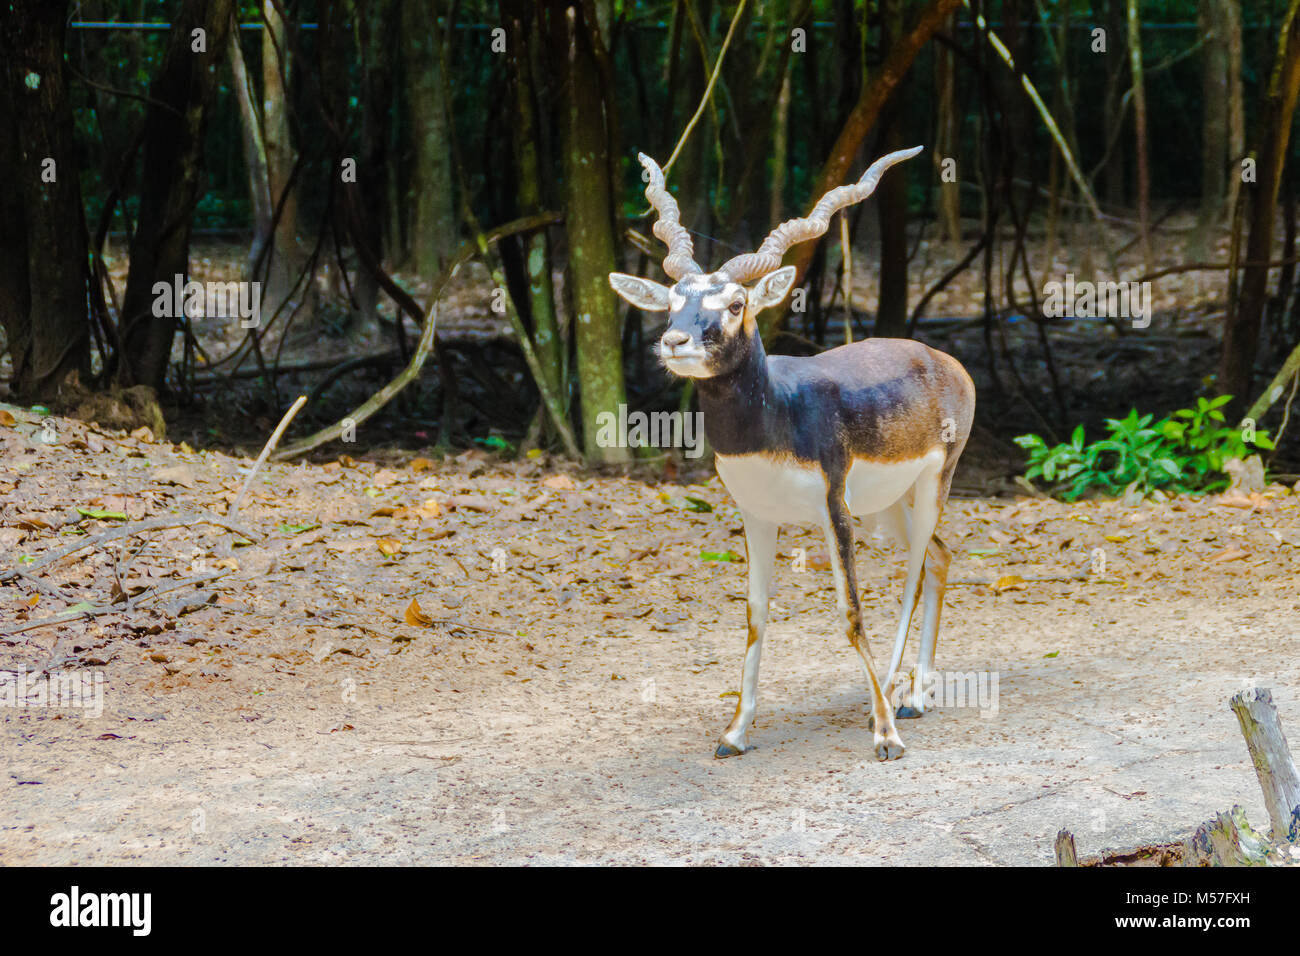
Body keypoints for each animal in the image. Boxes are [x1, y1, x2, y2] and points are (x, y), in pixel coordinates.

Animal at [609, 147, 974, 761]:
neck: (777, 412)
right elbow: (755, 615)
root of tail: (945, 361)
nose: (674, 342)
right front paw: (734, 732)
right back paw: (910, 694)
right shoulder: (756, 514)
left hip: (929, 487)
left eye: (736, 303)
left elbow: (851, 612)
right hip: (884, 506)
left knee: (916, 572)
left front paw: (885, 736)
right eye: (675, 303)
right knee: (940, 559)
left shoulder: (832, 508)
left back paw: (897, 704)